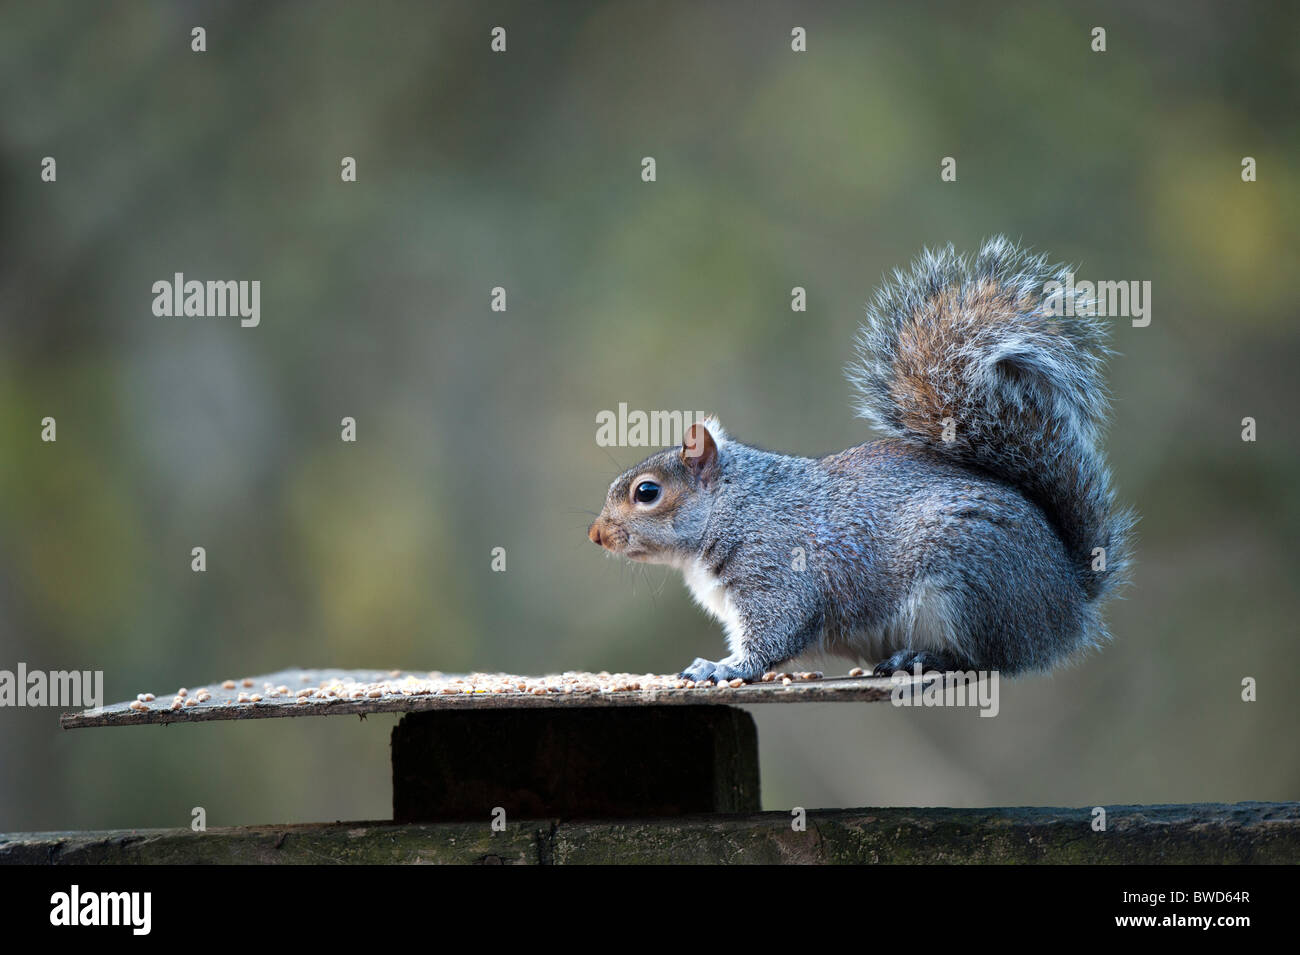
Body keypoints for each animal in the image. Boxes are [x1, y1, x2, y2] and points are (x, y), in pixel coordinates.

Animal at [588, 237, 1135, 682]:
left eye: (647, 492)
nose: (596, 535)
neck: (736, 507)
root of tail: (1068, 603)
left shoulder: (779, 570)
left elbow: (775, 632)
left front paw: (722, 669)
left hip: (967, 584)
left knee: (985, 660)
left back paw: (922, 658)